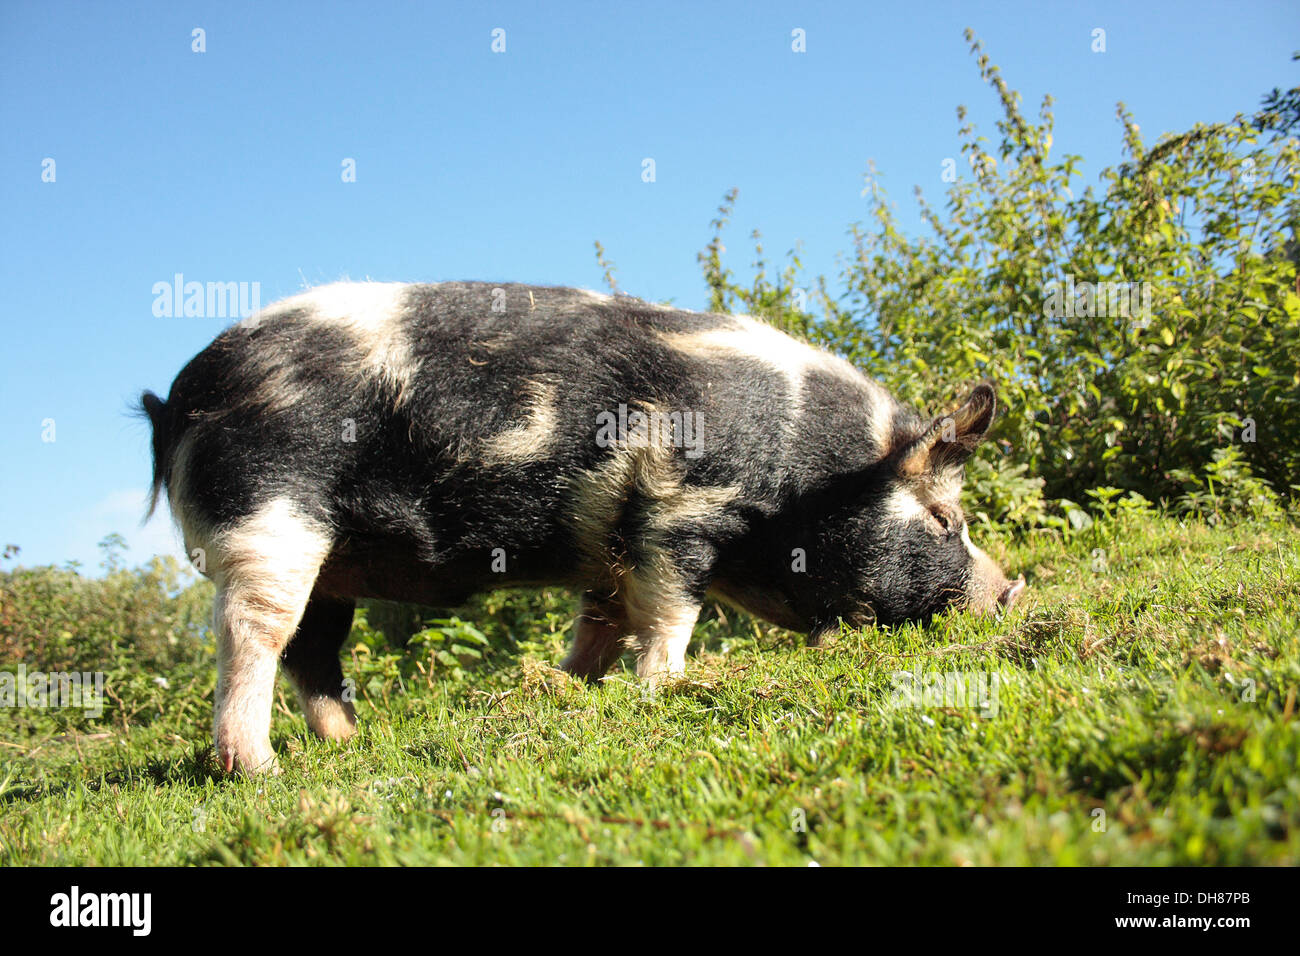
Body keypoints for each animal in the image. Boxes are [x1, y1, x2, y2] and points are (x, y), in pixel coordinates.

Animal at [140, 281, 1025, 773]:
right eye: (946, 517)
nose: (1010, 589)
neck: (803, 476)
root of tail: (176, 396)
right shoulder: (680, 508)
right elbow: (671, 611)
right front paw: (666, 687)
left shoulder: (610, 546)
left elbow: (601, 622)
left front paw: (571, 689)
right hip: (271, 510)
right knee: (253, 628)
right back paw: (256, 770)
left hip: (332, 559)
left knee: (313, 651)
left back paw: (349, 746)